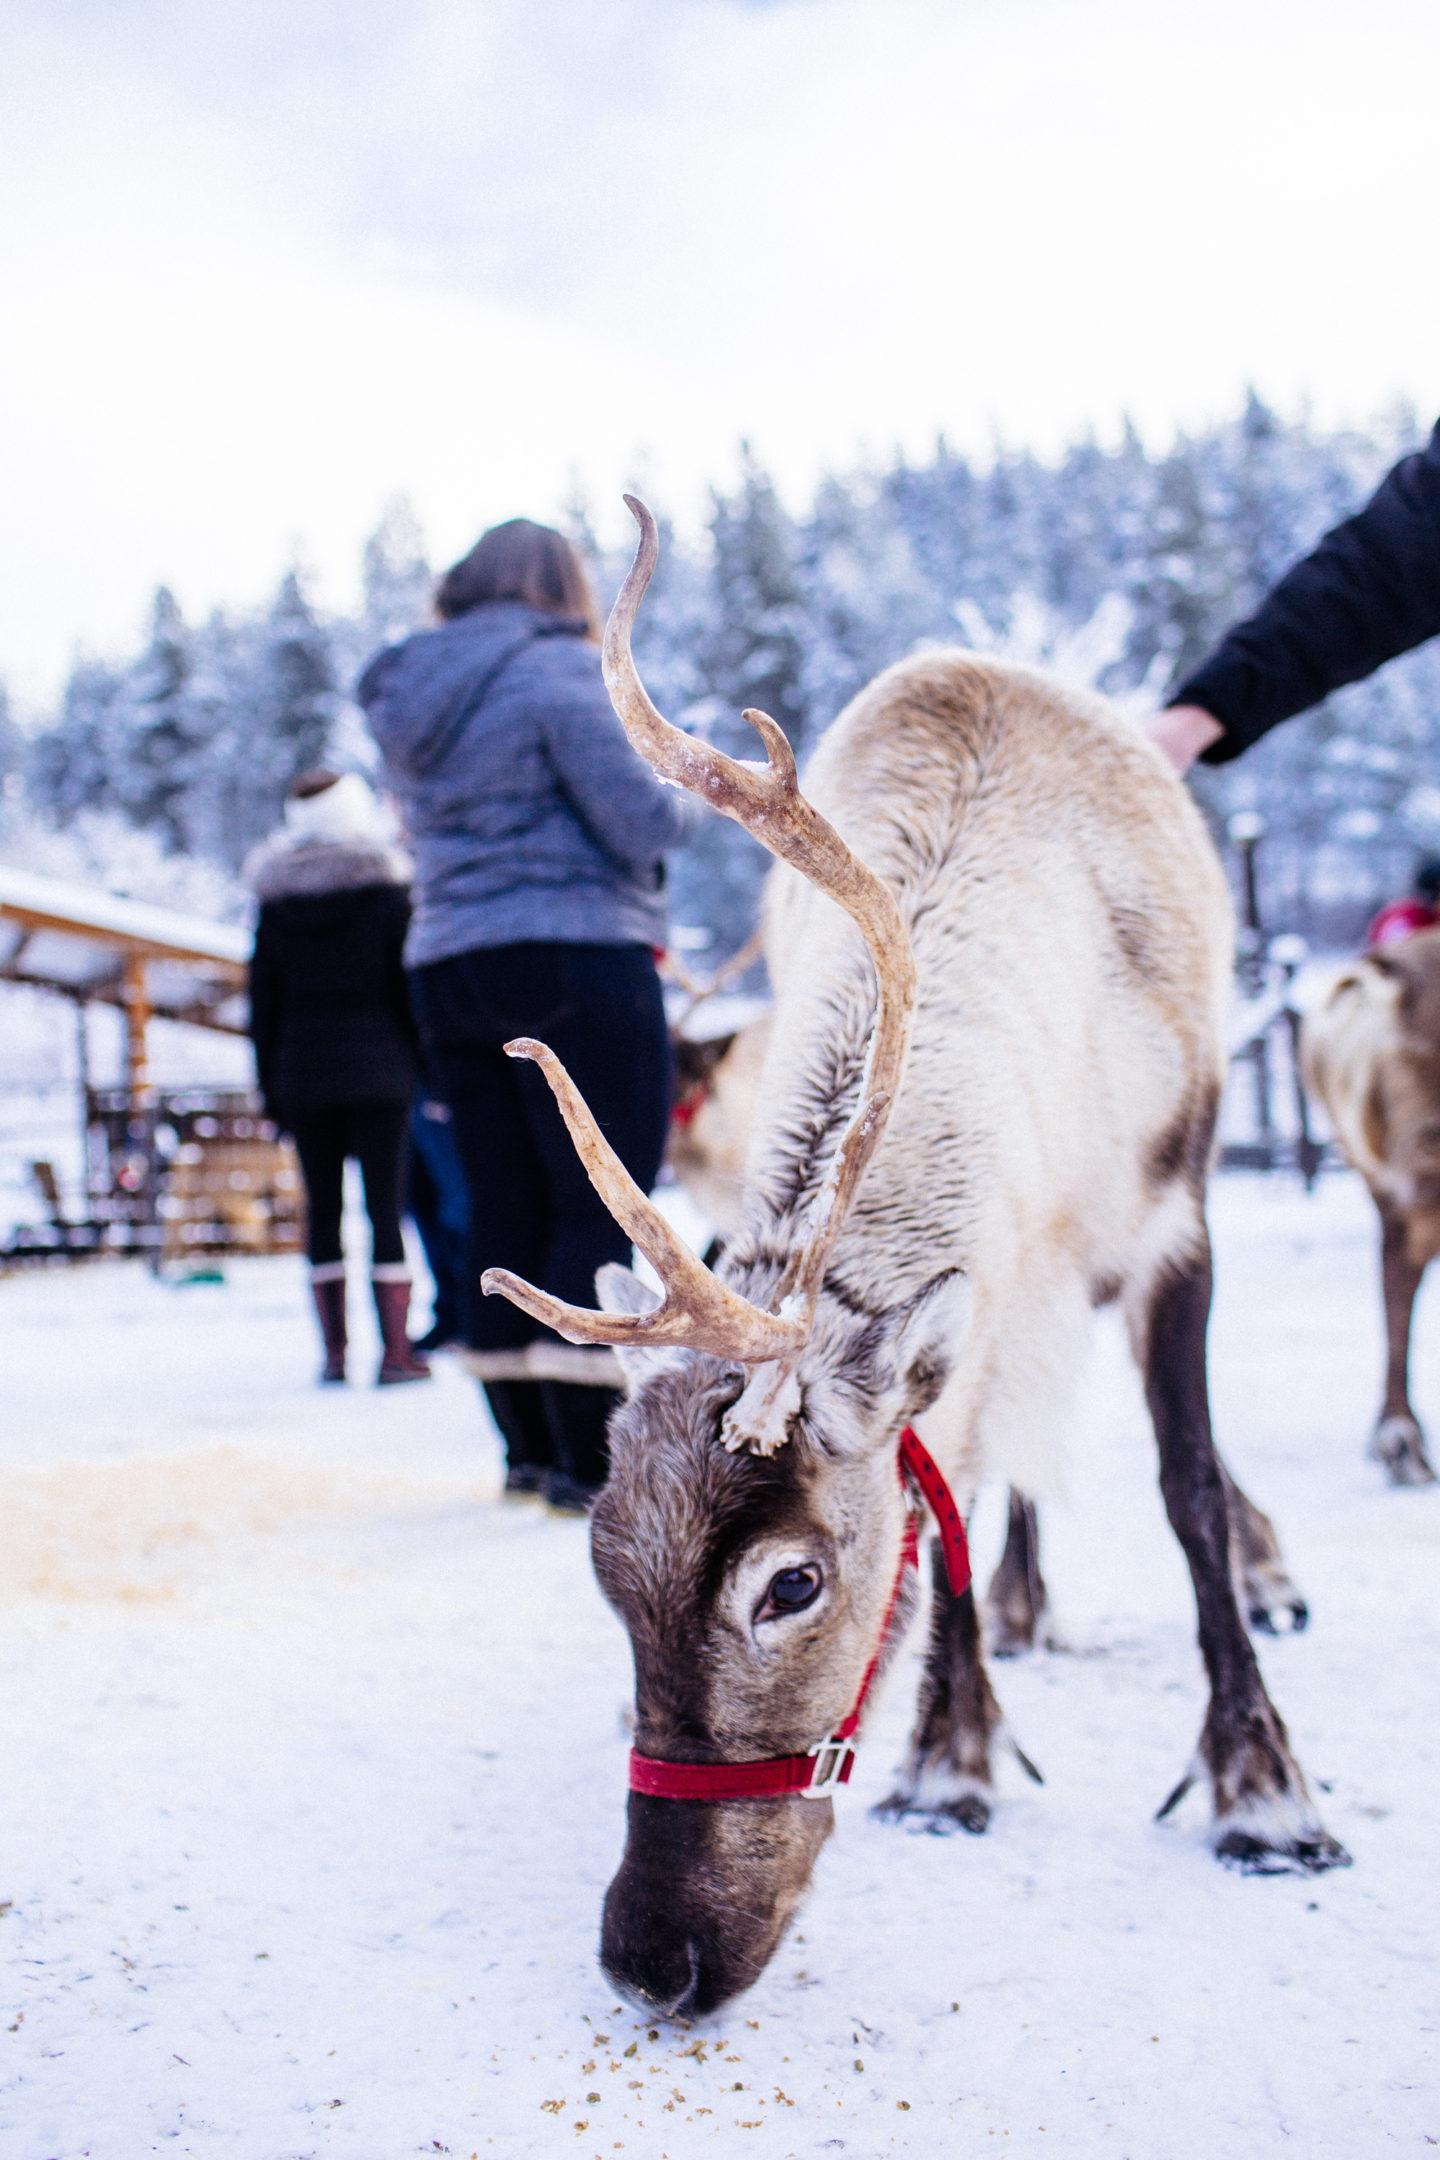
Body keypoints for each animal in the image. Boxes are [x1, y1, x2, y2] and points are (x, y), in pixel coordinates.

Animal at [482, 498, 1349, 2017]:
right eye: (600, 1560)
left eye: (791, 1583)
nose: (653, 1961)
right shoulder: (990, 1307)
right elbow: (952, 1503)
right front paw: (953, 1760)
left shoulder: (1173, 1221)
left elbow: (1184, 1486)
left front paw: (1264, 1792)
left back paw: (1259, 1573)